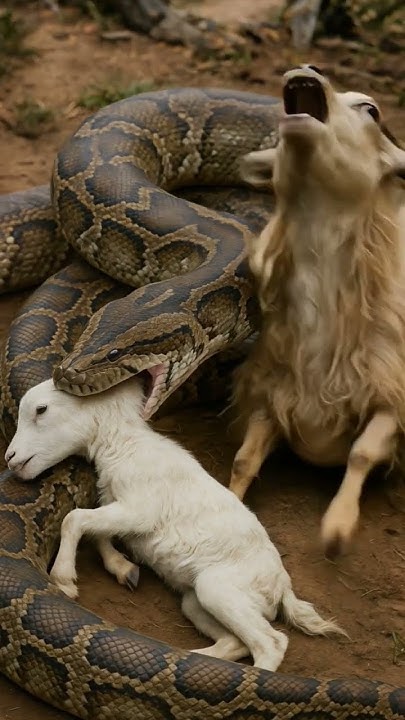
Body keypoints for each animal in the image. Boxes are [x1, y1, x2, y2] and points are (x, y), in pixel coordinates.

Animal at [5, 376, 344, 672]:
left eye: (41, 409)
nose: (10, 458)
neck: (125, 444)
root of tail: (282, 587)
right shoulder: (116, 505)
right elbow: (96, 532)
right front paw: (123, 569)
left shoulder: (139, 510)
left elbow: (75, 518)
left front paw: (64, 579)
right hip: (197, 602)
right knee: (236, 643)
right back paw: (196, 660)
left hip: (219, 589)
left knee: (271, 643)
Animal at [230, 64, 405, 558]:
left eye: (371, 110)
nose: (308, 69)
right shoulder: (271, 395)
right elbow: (243, 460)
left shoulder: (392, 399)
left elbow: (362, 452)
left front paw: (338, 528)